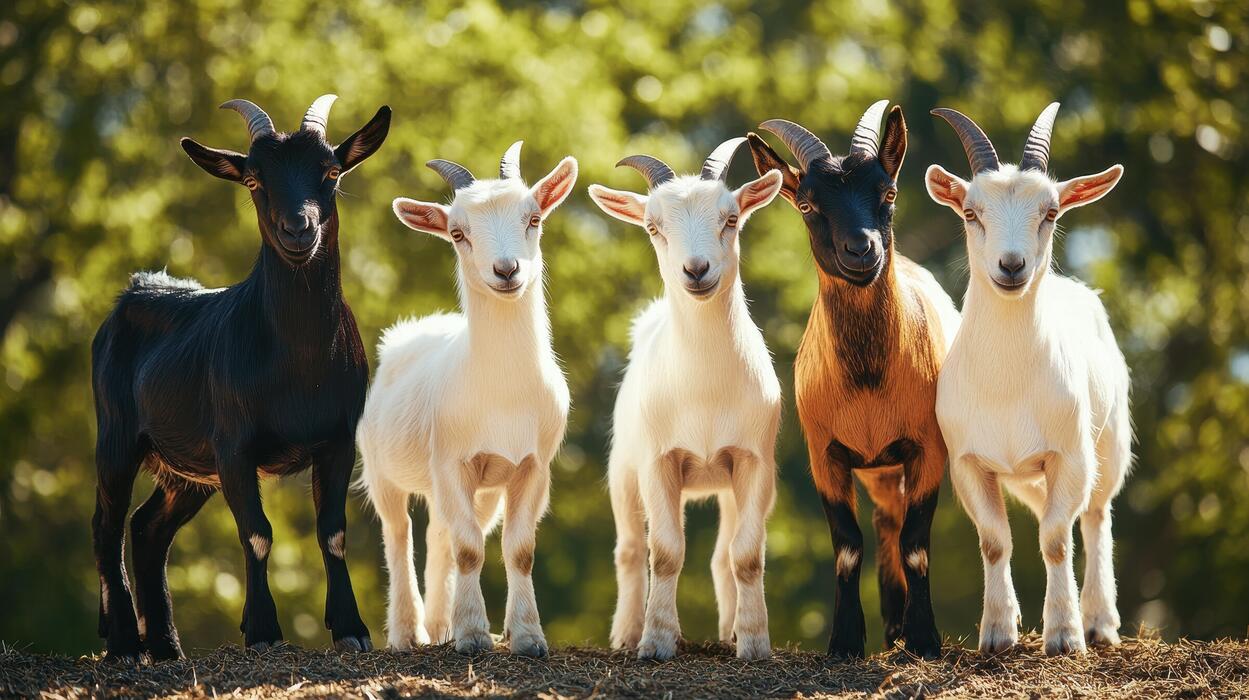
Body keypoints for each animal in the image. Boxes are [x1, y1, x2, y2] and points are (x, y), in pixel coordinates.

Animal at [91, 96, 391, 661]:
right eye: (253, 180)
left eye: (331, 171)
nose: (298, 230)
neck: (300, 368)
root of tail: (131, 293)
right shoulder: (235, 445)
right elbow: (257, 533)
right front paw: (263, 630)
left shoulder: (339, 438)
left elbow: (333, 531)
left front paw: (351, 629)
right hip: (116, 436)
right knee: (107, 524)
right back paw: (124, 643)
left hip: (187, 470)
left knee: (147, 529)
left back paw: (166, 647)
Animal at [357, 142, 577, 657]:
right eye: (457, 233)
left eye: (533, 218)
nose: (507, 270)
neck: (503, 395)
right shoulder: (451, 461)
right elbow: (470, 549)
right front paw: (474, 635)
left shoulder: (531, 466)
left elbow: (518, 550)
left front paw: (526, 637)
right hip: (381, 469)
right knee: (399, 534)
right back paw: (408, 633)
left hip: (480, 488)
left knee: (440, 534)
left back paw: (442, 626)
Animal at [587, 139, 783, 660]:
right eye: (653, 226)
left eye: (731, 218)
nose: (696, 270)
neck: (705, 392)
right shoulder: (659, 461)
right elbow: (666, 551)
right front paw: (656, 640)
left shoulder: (755, 460)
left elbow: (746, 555)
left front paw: (754, 642)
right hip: (623, 471)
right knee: (631, 548)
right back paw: (627, 631)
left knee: (721, 555)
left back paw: (729, 630)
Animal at [747, 102, 960, 659]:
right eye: (806, 204)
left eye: (888, 192)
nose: (861, 250)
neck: (867, 380)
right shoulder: (826, 455)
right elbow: (847, 546)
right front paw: (845, 641)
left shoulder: (928, 448)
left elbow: (916, 545)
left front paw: (924, 639)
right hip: (878, 469)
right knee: (885, 522)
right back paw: (891, 627)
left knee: (898, 527)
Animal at [926, 103, 1129, 655]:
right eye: (971, 212)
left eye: (1051, 212)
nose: (1012, 266)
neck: (1007, 386)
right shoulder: (970, 462)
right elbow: (996, 540)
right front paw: (998, 633)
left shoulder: (1070, 456)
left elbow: (1057, 540)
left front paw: (1064, 635)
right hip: (1026, 476)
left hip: (1109, 444)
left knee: (1096, 516)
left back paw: (1099, 622)